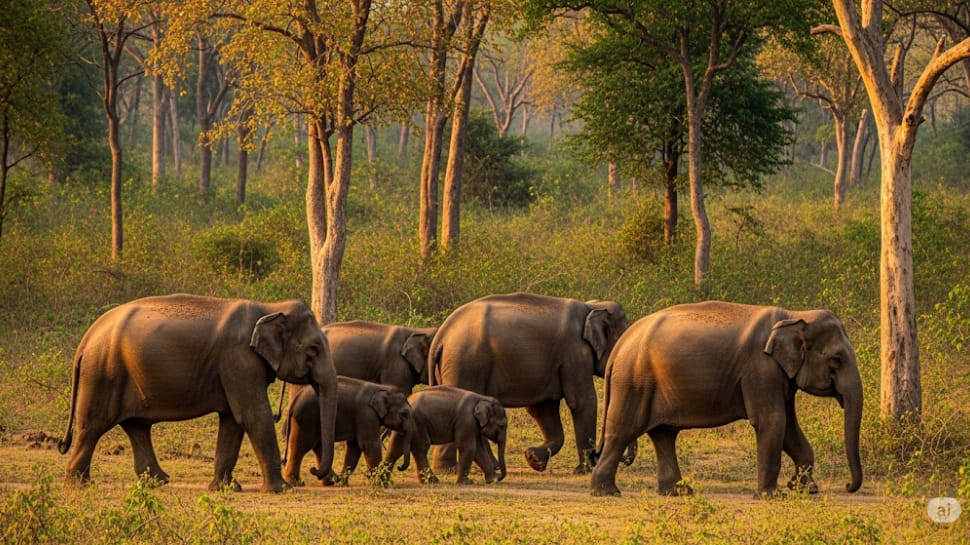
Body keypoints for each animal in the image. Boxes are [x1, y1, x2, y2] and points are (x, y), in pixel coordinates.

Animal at [58, 294, 339, 493]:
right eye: (313, 350)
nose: (315, 471)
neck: (269, 307)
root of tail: (87, 337)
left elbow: (232, 421)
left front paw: (226, 488)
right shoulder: (238, 358)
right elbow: (253, 415)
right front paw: (281, 490)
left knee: (136, 426)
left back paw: (158, 481)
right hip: (102, 374)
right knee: (93, 426)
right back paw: (80, 484)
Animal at [283, 376, 413, 486]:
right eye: (404, 414)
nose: (400, 467)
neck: (382, 388)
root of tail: (296, 399)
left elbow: (354, 447)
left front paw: (343, 483)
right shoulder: (366, 414)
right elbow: (368, 444)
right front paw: (381, 483)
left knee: (318, 446)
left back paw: (331, 481)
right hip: (305, 418)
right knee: (300, 446)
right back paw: (297, 483)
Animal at [430, 292, 628, 474]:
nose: (596, 457)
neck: (591, 306)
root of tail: (442, 333)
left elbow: (543, 408)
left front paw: (533, 459)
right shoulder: (575, 352)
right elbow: (581, 401)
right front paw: (583, 471)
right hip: (465, 363)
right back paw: (449, 470)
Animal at [589, 301, 864, 498]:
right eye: (836, 360)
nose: (848, 486)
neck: (793, 315)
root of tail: (620, 345)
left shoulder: (781, 376)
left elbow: (789, 428)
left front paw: (804, 489)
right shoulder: (761, 368)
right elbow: (772, 422)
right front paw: (773, 496)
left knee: (663, 434)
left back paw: (679, 492)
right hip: (633, 382)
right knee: (624, 431)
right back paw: (607, 493)